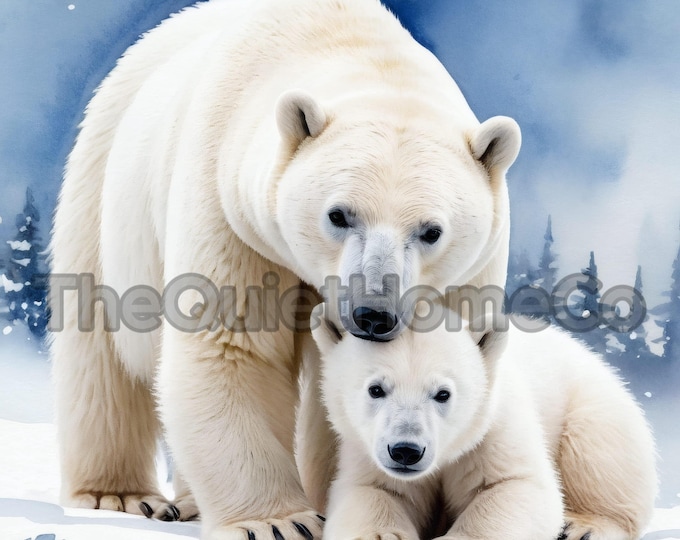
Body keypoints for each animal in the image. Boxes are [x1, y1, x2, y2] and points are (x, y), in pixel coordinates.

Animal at [48, 0, 521, 538]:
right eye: (338, 215)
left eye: (431, 231)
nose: (373, 313)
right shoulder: (231, 207)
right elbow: (232, 345)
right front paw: (278, 521)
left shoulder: (465, 273)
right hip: (105, 187)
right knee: (98, 350)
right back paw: (120, 495)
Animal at [311, 306, 658, 540]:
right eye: (376, 389)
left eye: (443, 393)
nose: (406, 450)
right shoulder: (365, 450)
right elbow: (375, 491)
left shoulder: (494, 428)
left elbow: (517, 485)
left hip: (592, 402)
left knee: (598, 453)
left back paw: (583, 526)